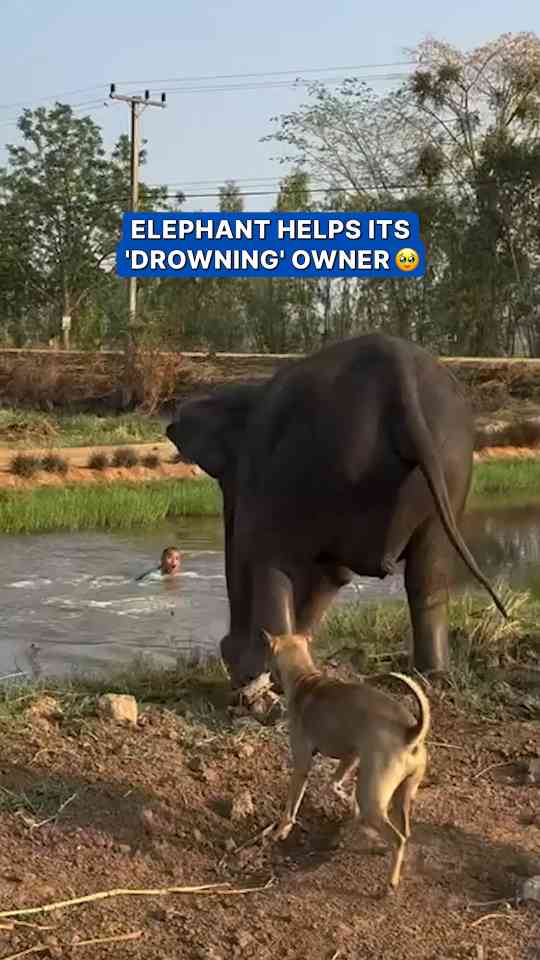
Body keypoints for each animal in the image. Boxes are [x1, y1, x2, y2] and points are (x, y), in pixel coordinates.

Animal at [166, 333, 507, 690]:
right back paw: (433, 676)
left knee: (273, 566)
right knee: (429, 580)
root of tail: (399, 374)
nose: (226, 652)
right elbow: (326, 579)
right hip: (447, 475)